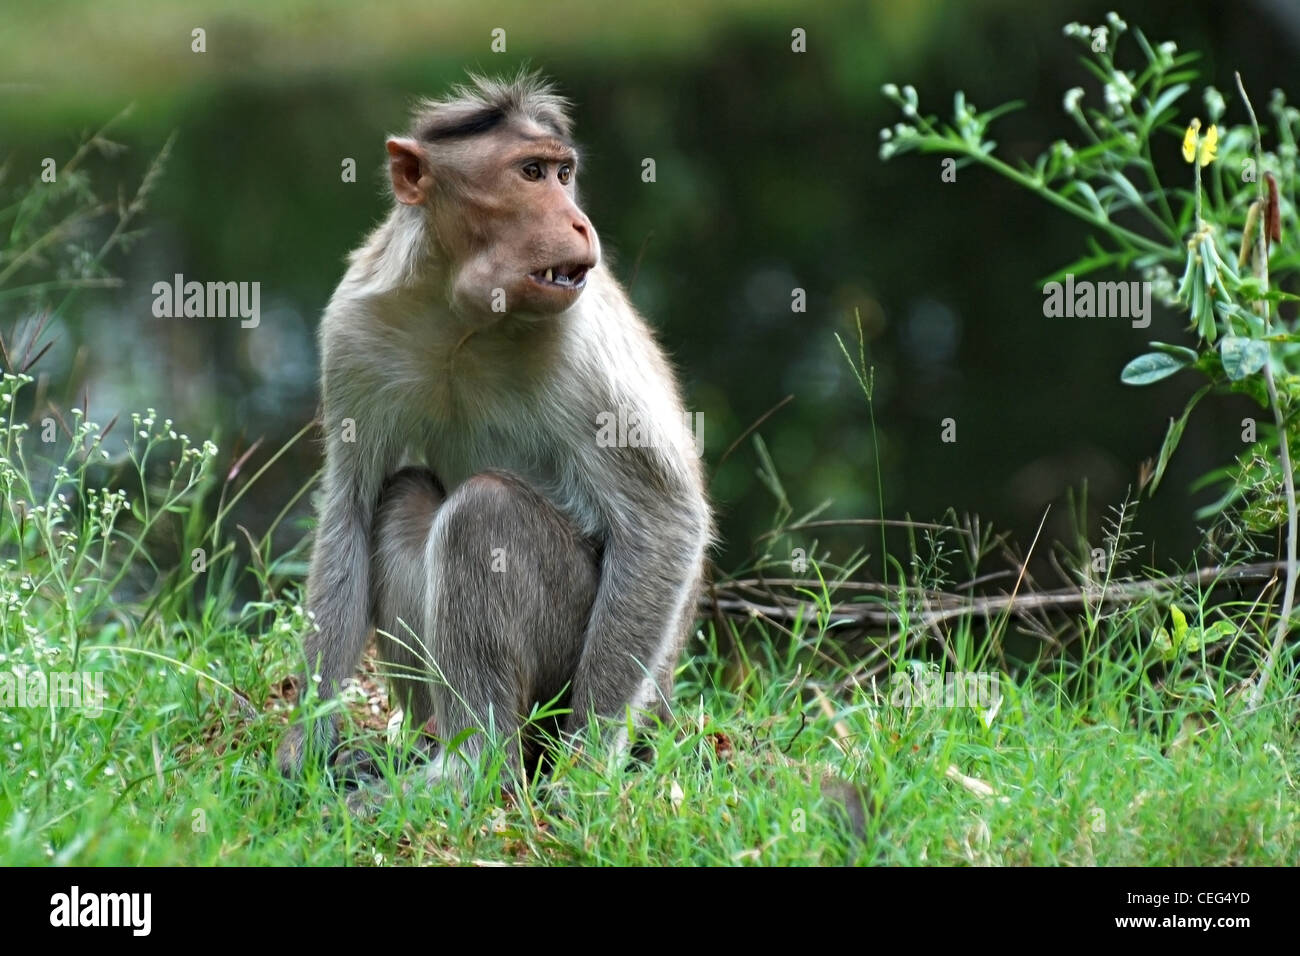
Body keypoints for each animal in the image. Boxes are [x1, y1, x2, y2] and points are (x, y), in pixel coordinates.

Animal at [277, 71, 712, 784]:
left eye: (564, 174)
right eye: (531, 173)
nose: (579, 221)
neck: (466, 316)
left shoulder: (578, 334)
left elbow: (665, 518)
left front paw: (586, 770)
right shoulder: (353, 328)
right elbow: (350, 506)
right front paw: (304, 745)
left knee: (484, 511)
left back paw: (471, 766)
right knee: (404, 499)